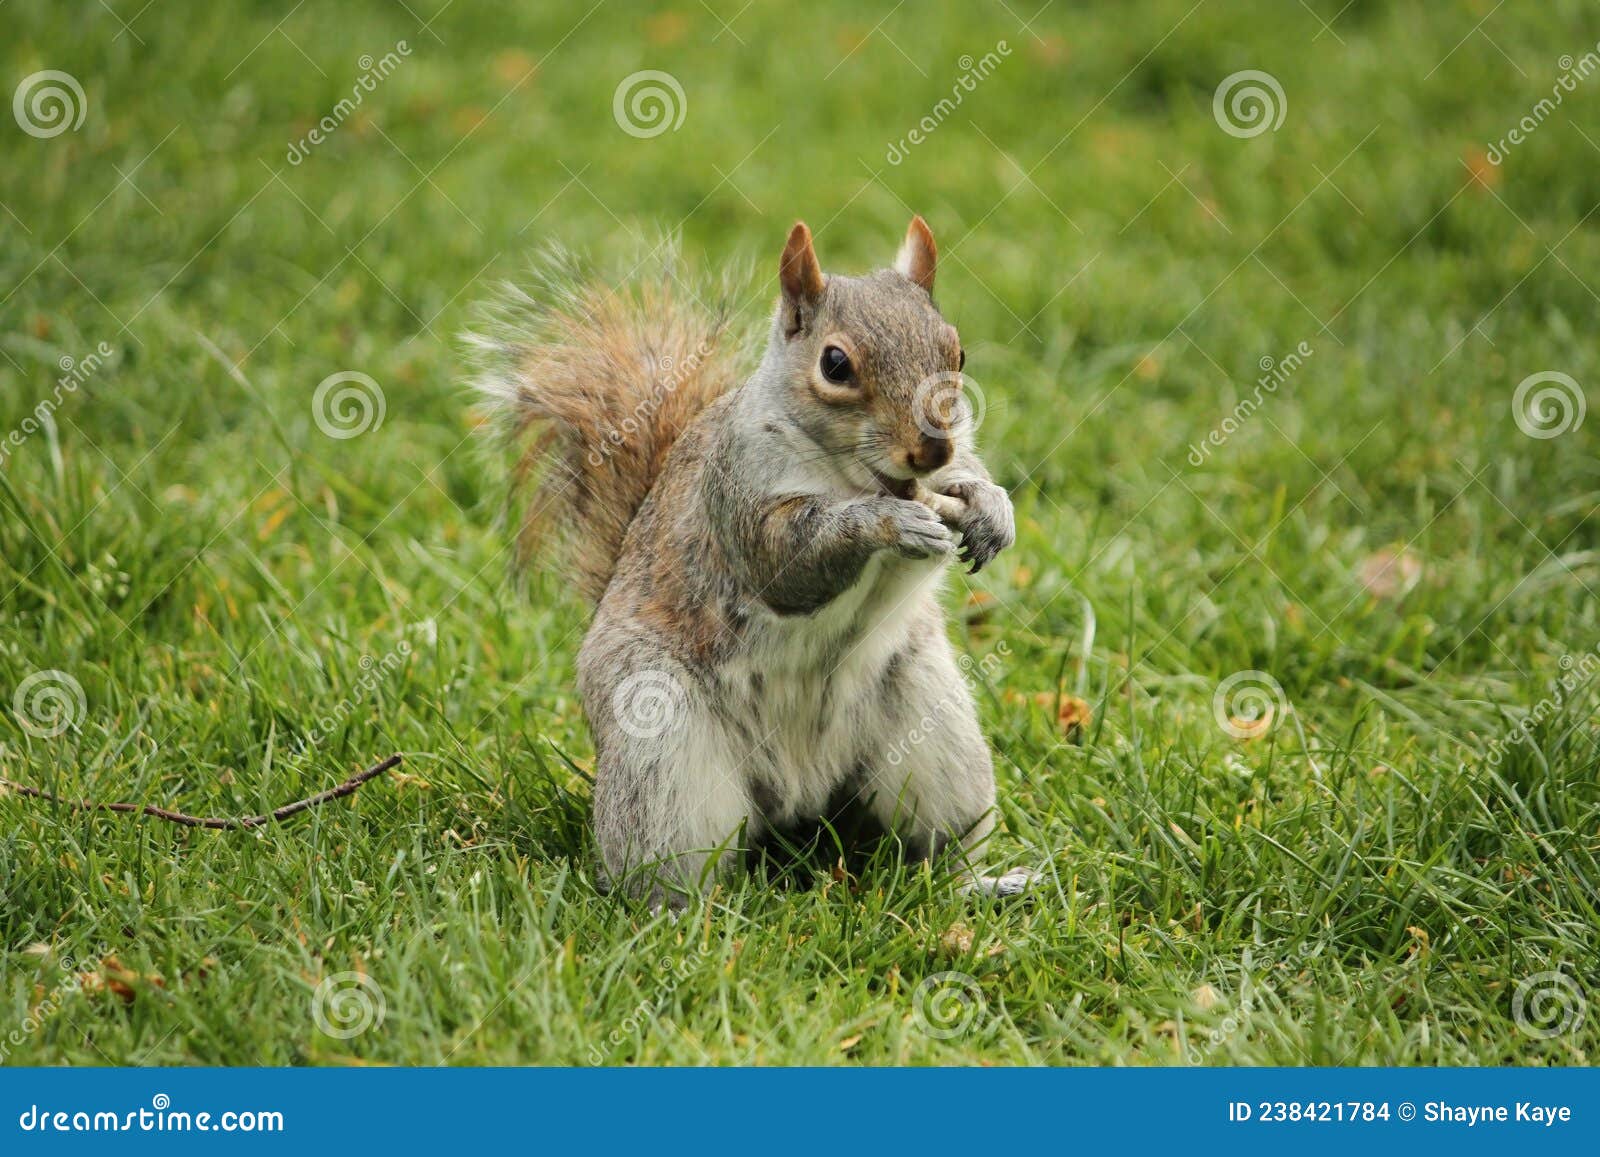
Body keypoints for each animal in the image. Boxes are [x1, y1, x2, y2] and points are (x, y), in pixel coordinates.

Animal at [472, 217, 1035, 906]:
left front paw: (991, 508)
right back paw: (680, 915)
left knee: (936, 844)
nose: (933, 448)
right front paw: (884, 523)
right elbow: (787, 560)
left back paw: (981, 884)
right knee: (664, 865)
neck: (853, 475)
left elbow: (969, 478)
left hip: (935, 731)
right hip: (661, 751)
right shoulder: (737, 495)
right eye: (835, 364)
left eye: (957, 355)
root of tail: (797, 793)